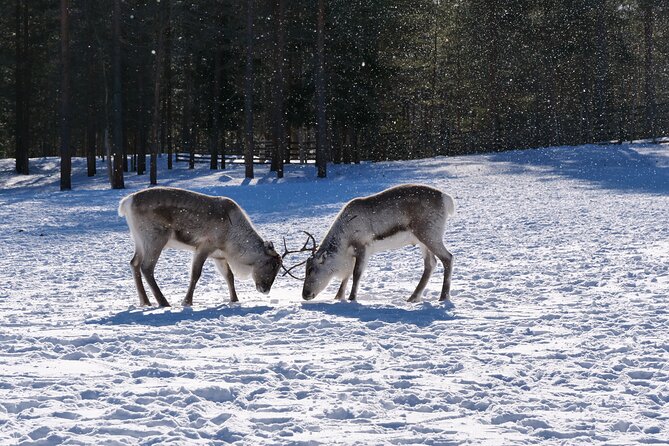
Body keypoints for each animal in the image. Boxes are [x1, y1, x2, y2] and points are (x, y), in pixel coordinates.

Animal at [118, 186, 282, 307]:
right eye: (272, 265)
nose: (265, 289)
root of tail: (126, 202)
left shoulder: (219, 256)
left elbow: (229, 276)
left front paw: (234, 300)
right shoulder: (204, 246)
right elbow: (196, 274)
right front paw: (187, 302)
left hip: (139, 241)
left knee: (134, 263)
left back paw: (145, 302)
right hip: (155, 239)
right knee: (146, 267)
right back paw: (163, 302)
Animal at [298, 184, 455, 303]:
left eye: (311, 269)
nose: (305, 294)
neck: (344, 240)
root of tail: (446, 199)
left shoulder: (362, 247)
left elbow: (356, 273)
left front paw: (352, 298)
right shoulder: (350, 256)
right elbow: (346, 276)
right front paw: (338, 297)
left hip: (430, 235)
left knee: (448, 258)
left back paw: (443, 297)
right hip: (423, 241)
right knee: (430, 264)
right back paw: (413, 297)